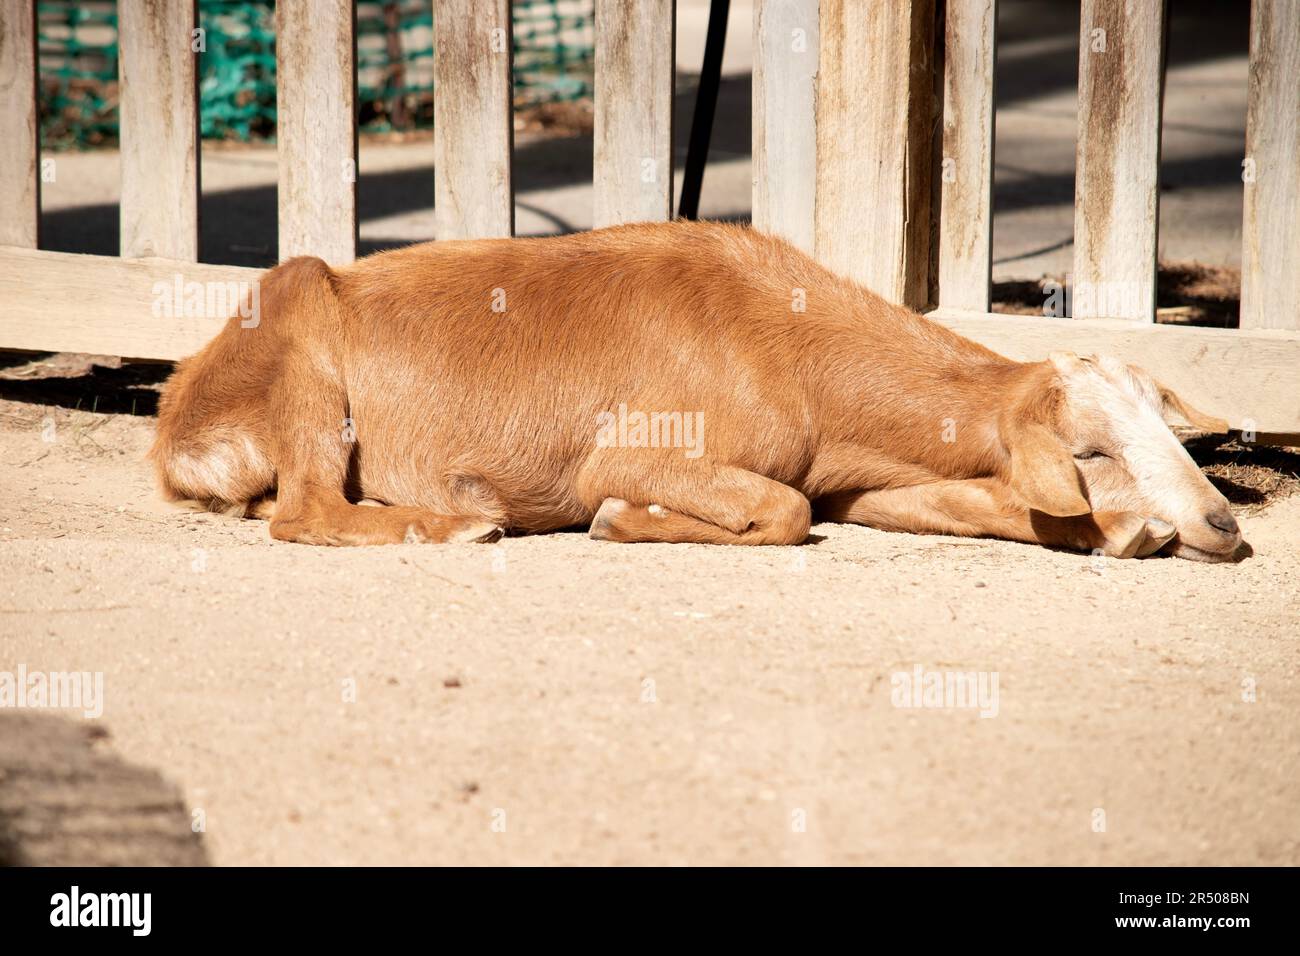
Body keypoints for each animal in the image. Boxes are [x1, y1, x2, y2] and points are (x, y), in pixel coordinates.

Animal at [151, 221, 1245, 562]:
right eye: (1091, 450)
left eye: (1171, 435)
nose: (1225, 522)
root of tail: (173, 428)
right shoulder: (634, 446)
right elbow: (782, 507)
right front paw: (627, 522)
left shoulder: (869, 480)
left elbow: (973, 503)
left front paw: (1127, 532)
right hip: (300, 329)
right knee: (300, 511)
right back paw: (454, 522)